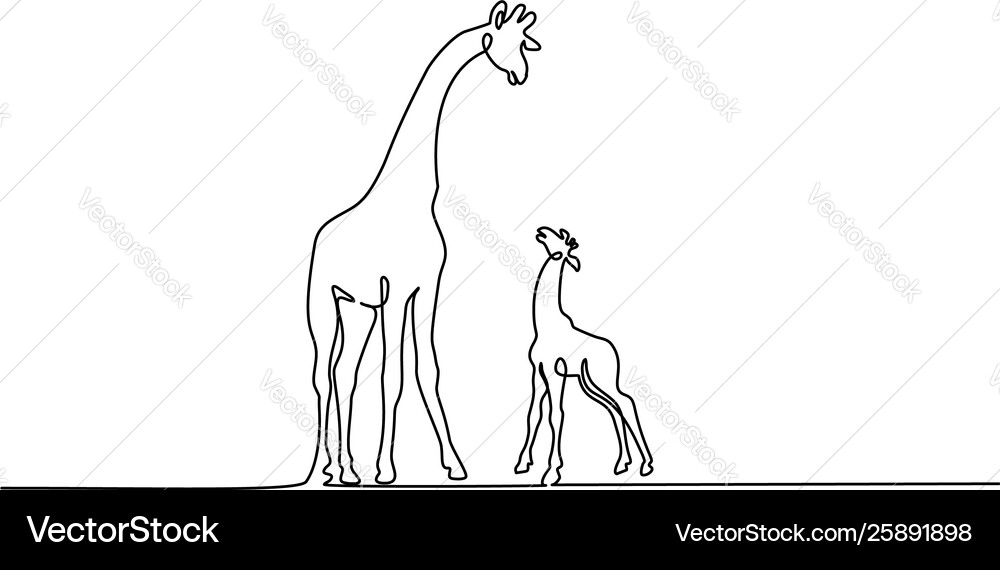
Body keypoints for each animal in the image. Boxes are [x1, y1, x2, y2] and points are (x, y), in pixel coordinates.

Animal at [306, 2, 542, 486]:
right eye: (511, 42)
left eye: (527, 43)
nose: (520, 75)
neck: (412, 195)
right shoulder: (395, 291)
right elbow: (392, 376)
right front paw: (386, 470)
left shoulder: (427, 288)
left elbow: (426, 369)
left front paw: (454, 464)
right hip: (322, 304)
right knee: (322, 374)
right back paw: (327, 466)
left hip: (356, 309)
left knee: (344, 373)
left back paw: (343, 468)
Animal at [515, 228, 654, 485]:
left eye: (560, 247)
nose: (541, 232)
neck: (545, 326)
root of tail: (613, 351)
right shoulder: (537, 372)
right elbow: (533, 415)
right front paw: (522, 464)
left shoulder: (555, 372)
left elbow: (555, 415)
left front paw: (552, 472)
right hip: (587, 381)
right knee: (614, 408)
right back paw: (622, 464)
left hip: (602, 378)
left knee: (625, 403)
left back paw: (646, 464)